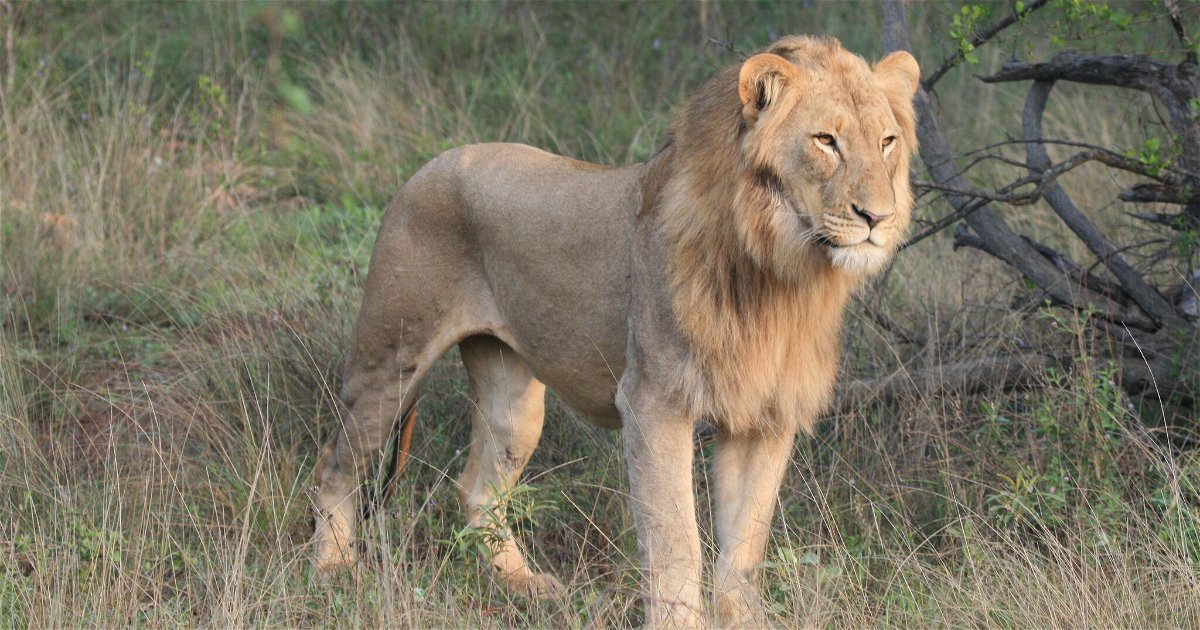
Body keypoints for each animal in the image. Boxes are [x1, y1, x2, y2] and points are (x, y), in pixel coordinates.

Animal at [311, 35, 919, 628]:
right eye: (826, 140)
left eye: (887, 141)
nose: (878, 218)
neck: (781, 270)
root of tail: (429, 165)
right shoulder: (655, 402)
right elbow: (676, 538)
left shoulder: (765, 417)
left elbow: (744, 545)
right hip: (390, 361)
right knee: (336, 462)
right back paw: (332, 571)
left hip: (513, 401)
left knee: (478, 488)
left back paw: (523, 586)